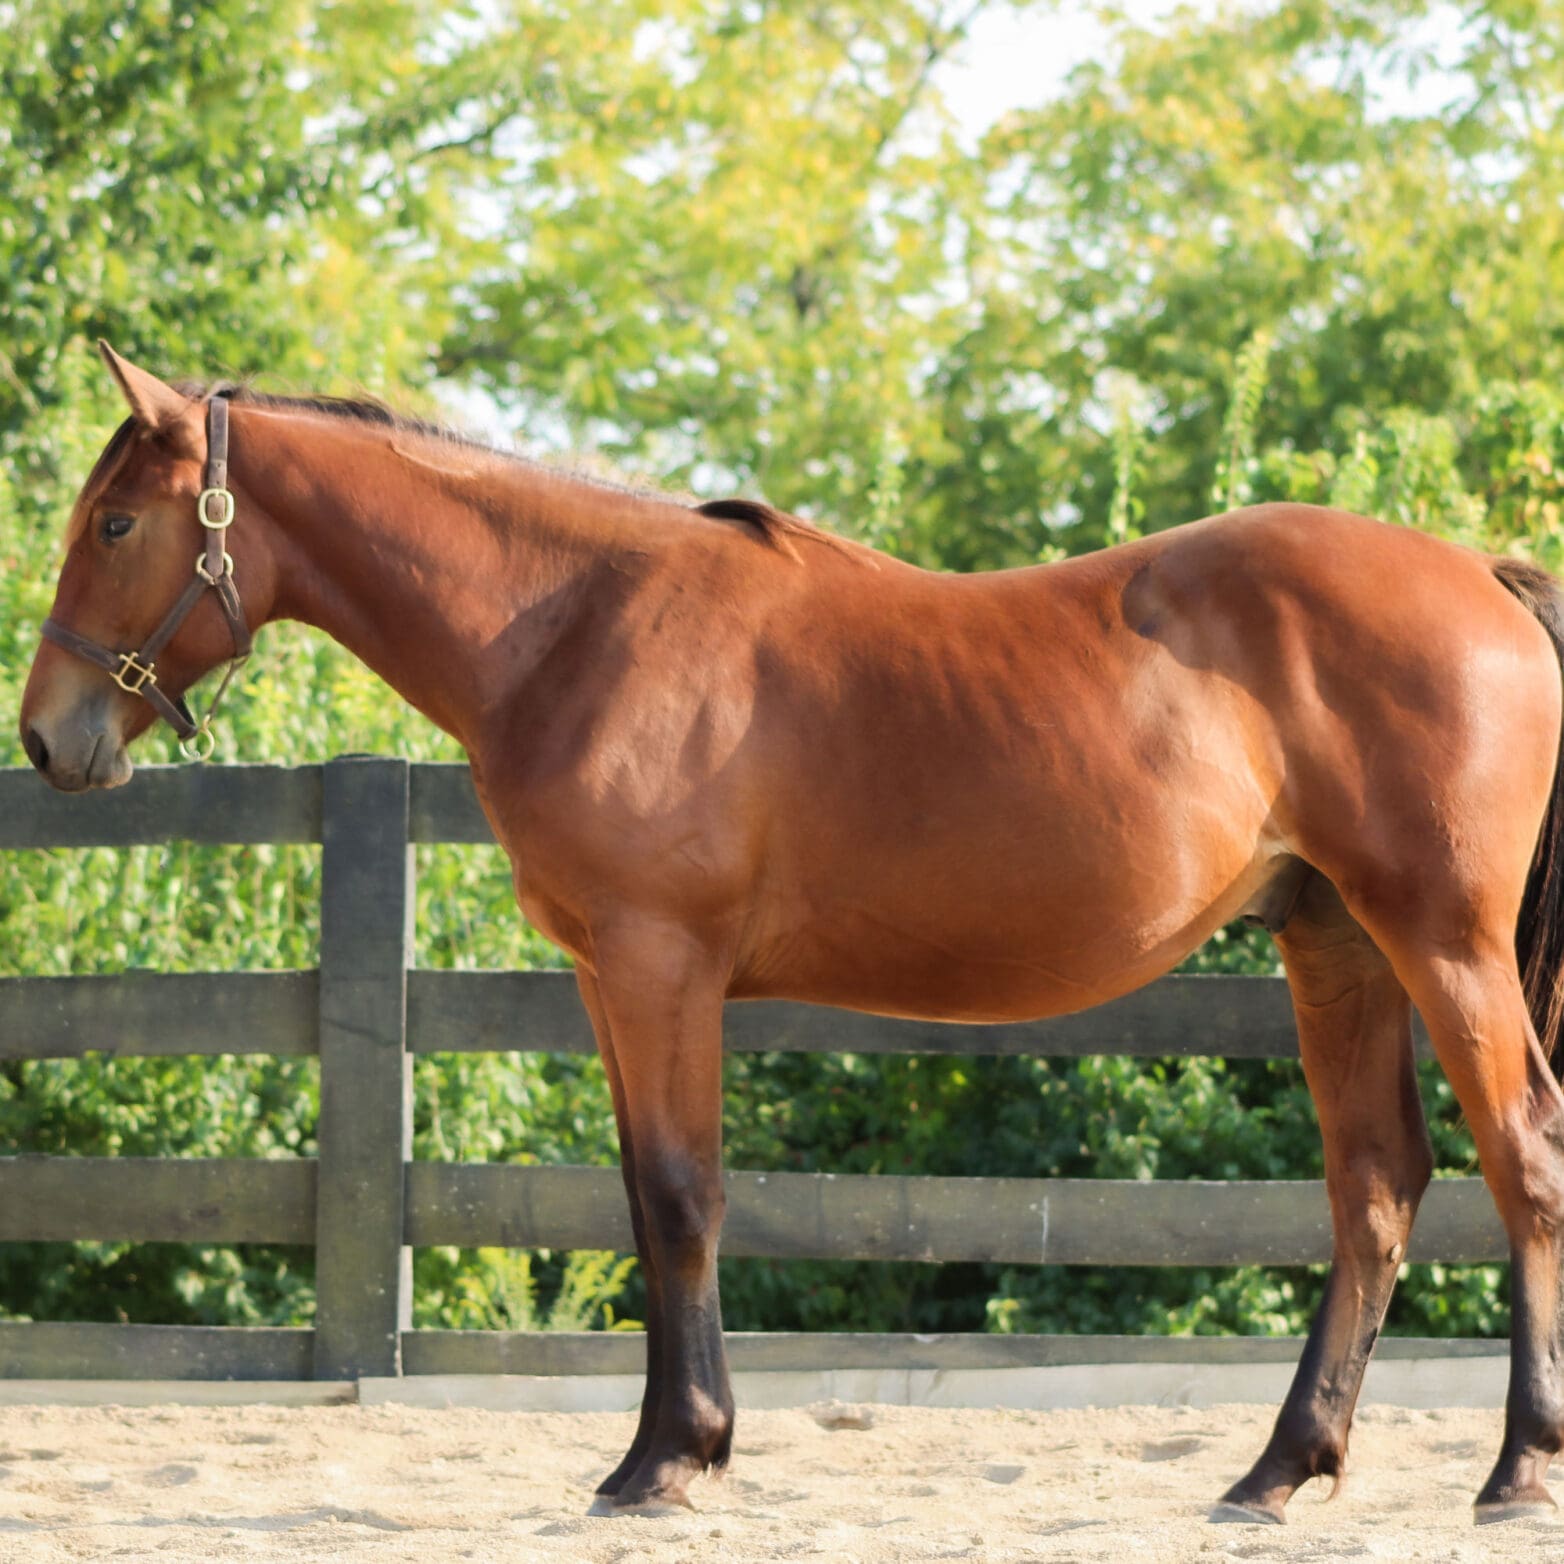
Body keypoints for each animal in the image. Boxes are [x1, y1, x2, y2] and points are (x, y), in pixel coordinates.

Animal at [19, 343, 1564, 1525]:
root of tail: (1481, 577)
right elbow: (645, 1198)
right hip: (1336, 943)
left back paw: (1515, 1470)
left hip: (1442, 940)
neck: (570, 627)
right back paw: (1280, 1470)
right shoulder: (605, 980)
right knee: (1374, 1185)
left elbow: (682, 1196)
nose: (48, 736)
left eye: (114, 526)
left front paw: (671, 1459)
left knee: (1521, 1154)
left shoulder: (662, 966)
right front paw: (663, 1448)